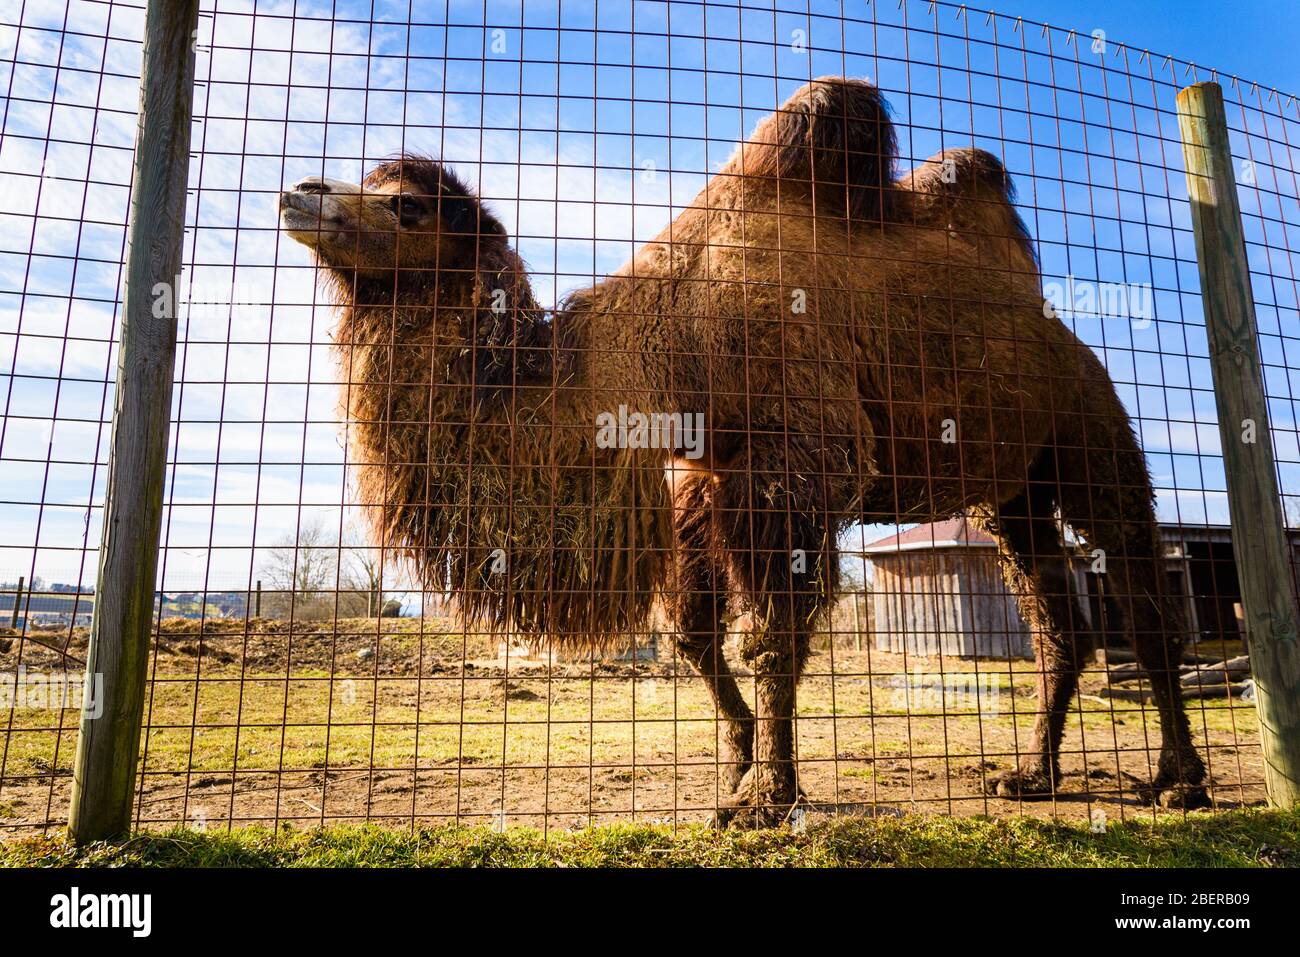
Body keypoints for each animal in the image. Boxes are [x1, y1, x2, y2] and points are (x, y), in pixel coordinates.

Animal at [278, 77, 1208, 824]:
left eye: (405, 205)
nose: (300, 191)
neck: (664, 336)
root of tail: (1057, 329)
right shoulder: (703, 475)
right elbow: (695, 635)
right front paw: (740, 769)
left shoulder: (794, 456)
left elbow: (770, 633)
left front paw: (766, 797)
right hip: (1007, 485)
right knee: (1054, 615)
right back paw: (1032, 775)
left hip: (1089, 420)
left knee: (1138, 581)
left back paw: (1178, 780)